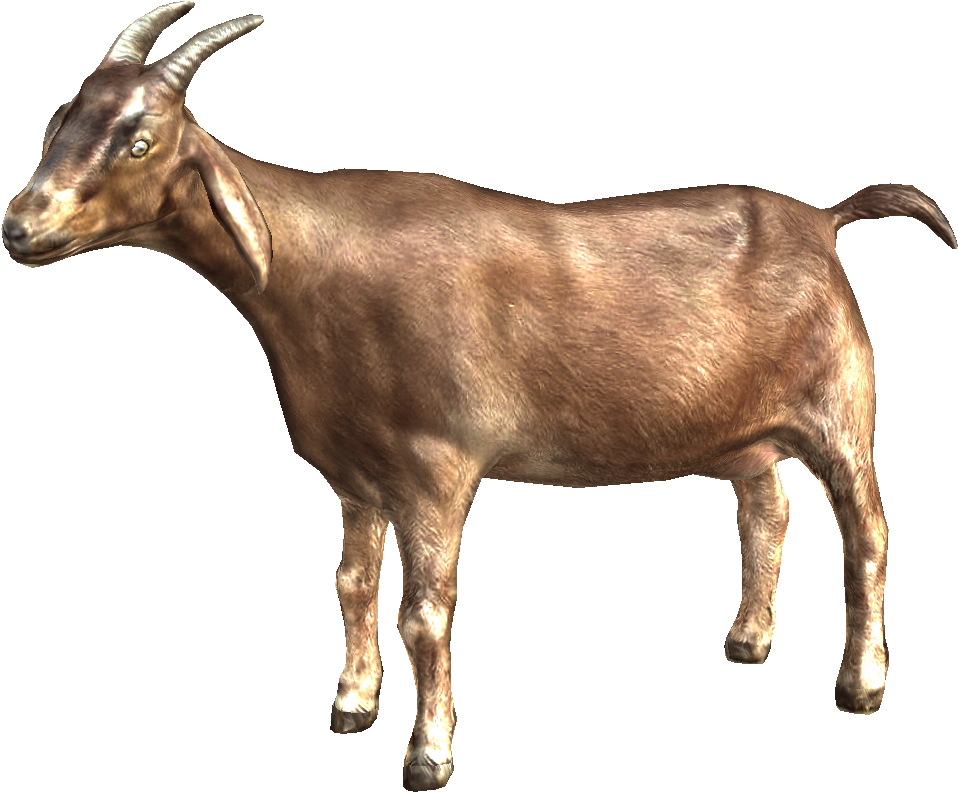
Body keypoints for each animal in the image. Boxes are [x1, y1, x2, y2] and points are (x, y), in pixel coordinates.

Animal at [5, 2, 956, 789]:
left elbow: (424, 613)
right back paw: (747, 641)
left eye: (140, 141)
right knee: (765, 512)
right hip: (743, 434)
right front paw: (350, 705)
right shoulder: (356, 477)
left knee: (866, 532)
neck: (313, 272)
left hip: (840, 406)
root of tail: (825, 219)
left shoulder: (437, 468)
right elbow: (349, 584)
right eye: (59, 123)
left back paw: (860, 684)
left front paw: (428, 755)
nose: (20, 226)